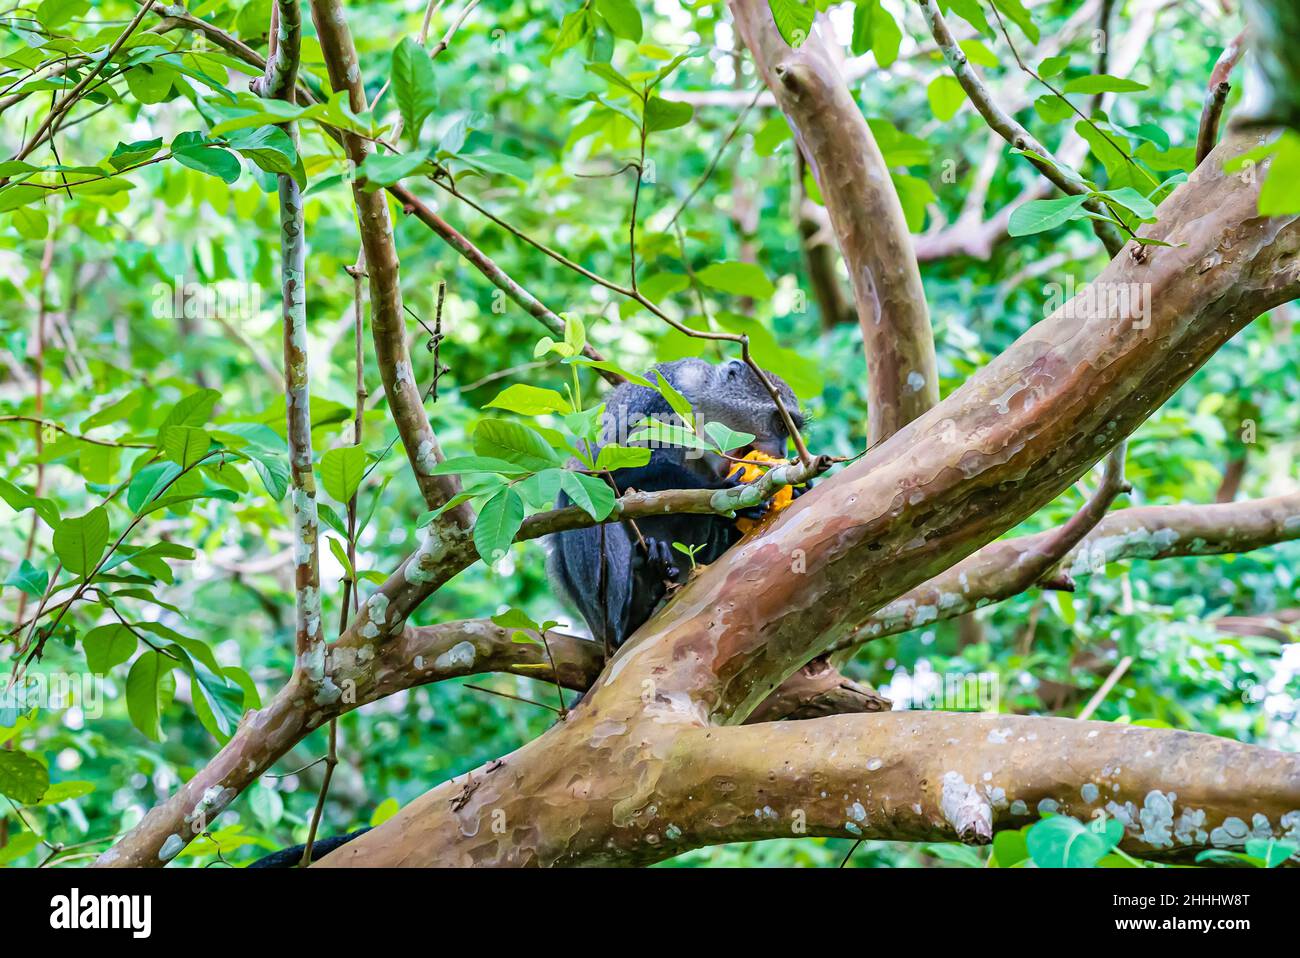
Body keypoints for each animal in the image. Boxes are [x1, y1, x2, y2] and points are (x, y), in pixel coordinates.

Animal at [546, 357, 805, 651]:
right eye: (780, 424)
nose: (782, 451)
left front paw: (800, 489)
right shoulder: (665, 399)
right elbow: (611, 475)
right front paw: (723, 493)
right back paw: (634, 610)